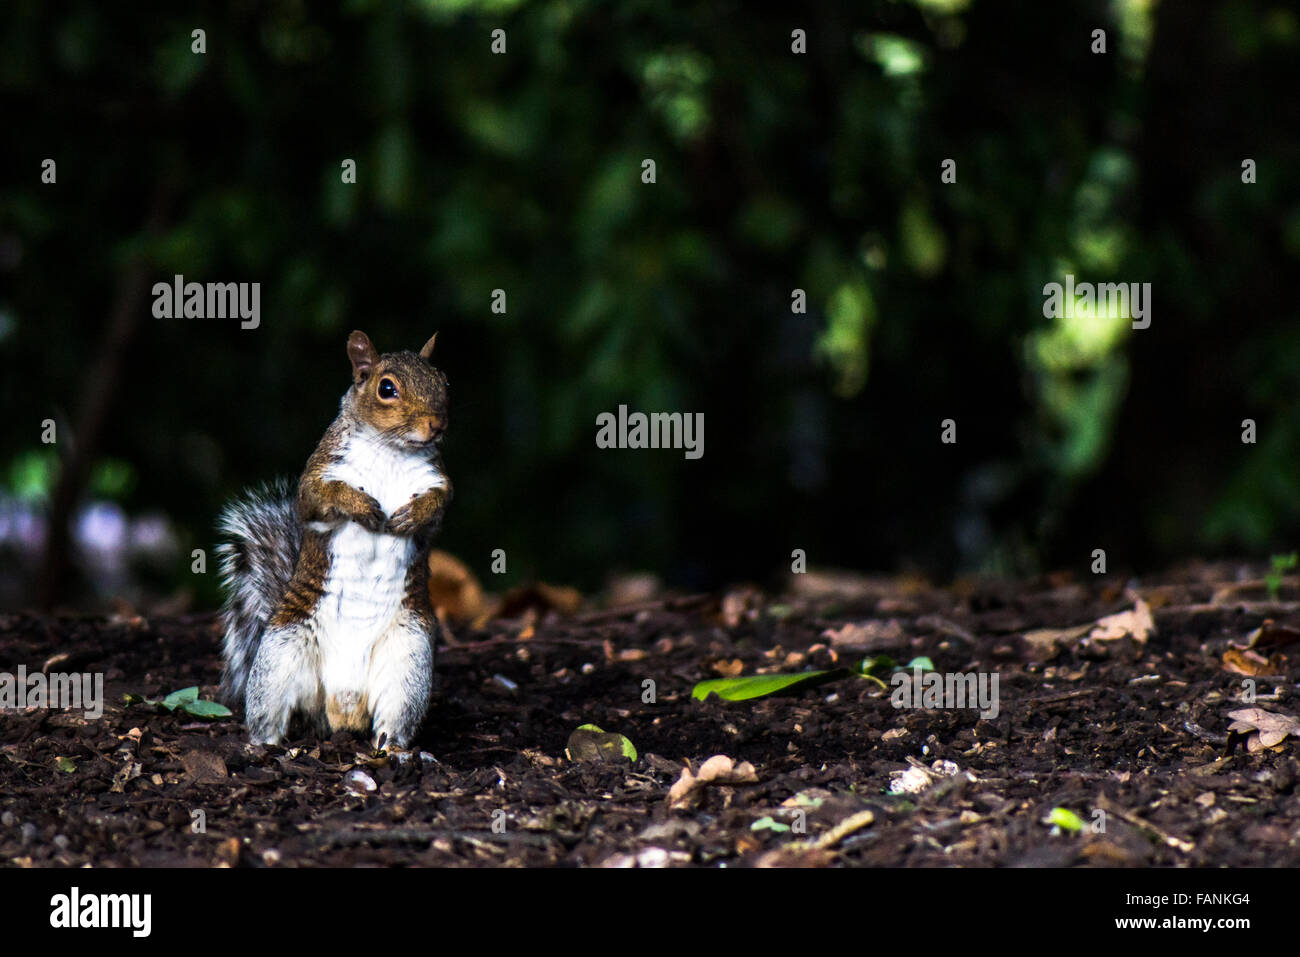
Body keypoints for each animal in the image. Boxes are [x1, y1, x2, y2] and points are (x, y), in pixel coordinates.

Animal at [216, 330, 451, 749]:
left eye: (444, 381)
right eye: (386, 388)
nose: (437, 424)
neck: (391, 451)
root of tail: (341, 708)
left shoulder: (438, 481)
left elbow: (439, 505)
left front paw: (413, 514)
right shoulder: (319, 474)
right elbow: (319, 497)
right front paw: (361, 505)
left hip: (410, 659)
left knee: (395, 715)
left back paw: (394, 750)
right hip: (280, 652)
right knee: (267, 713)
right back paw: (262, 746)